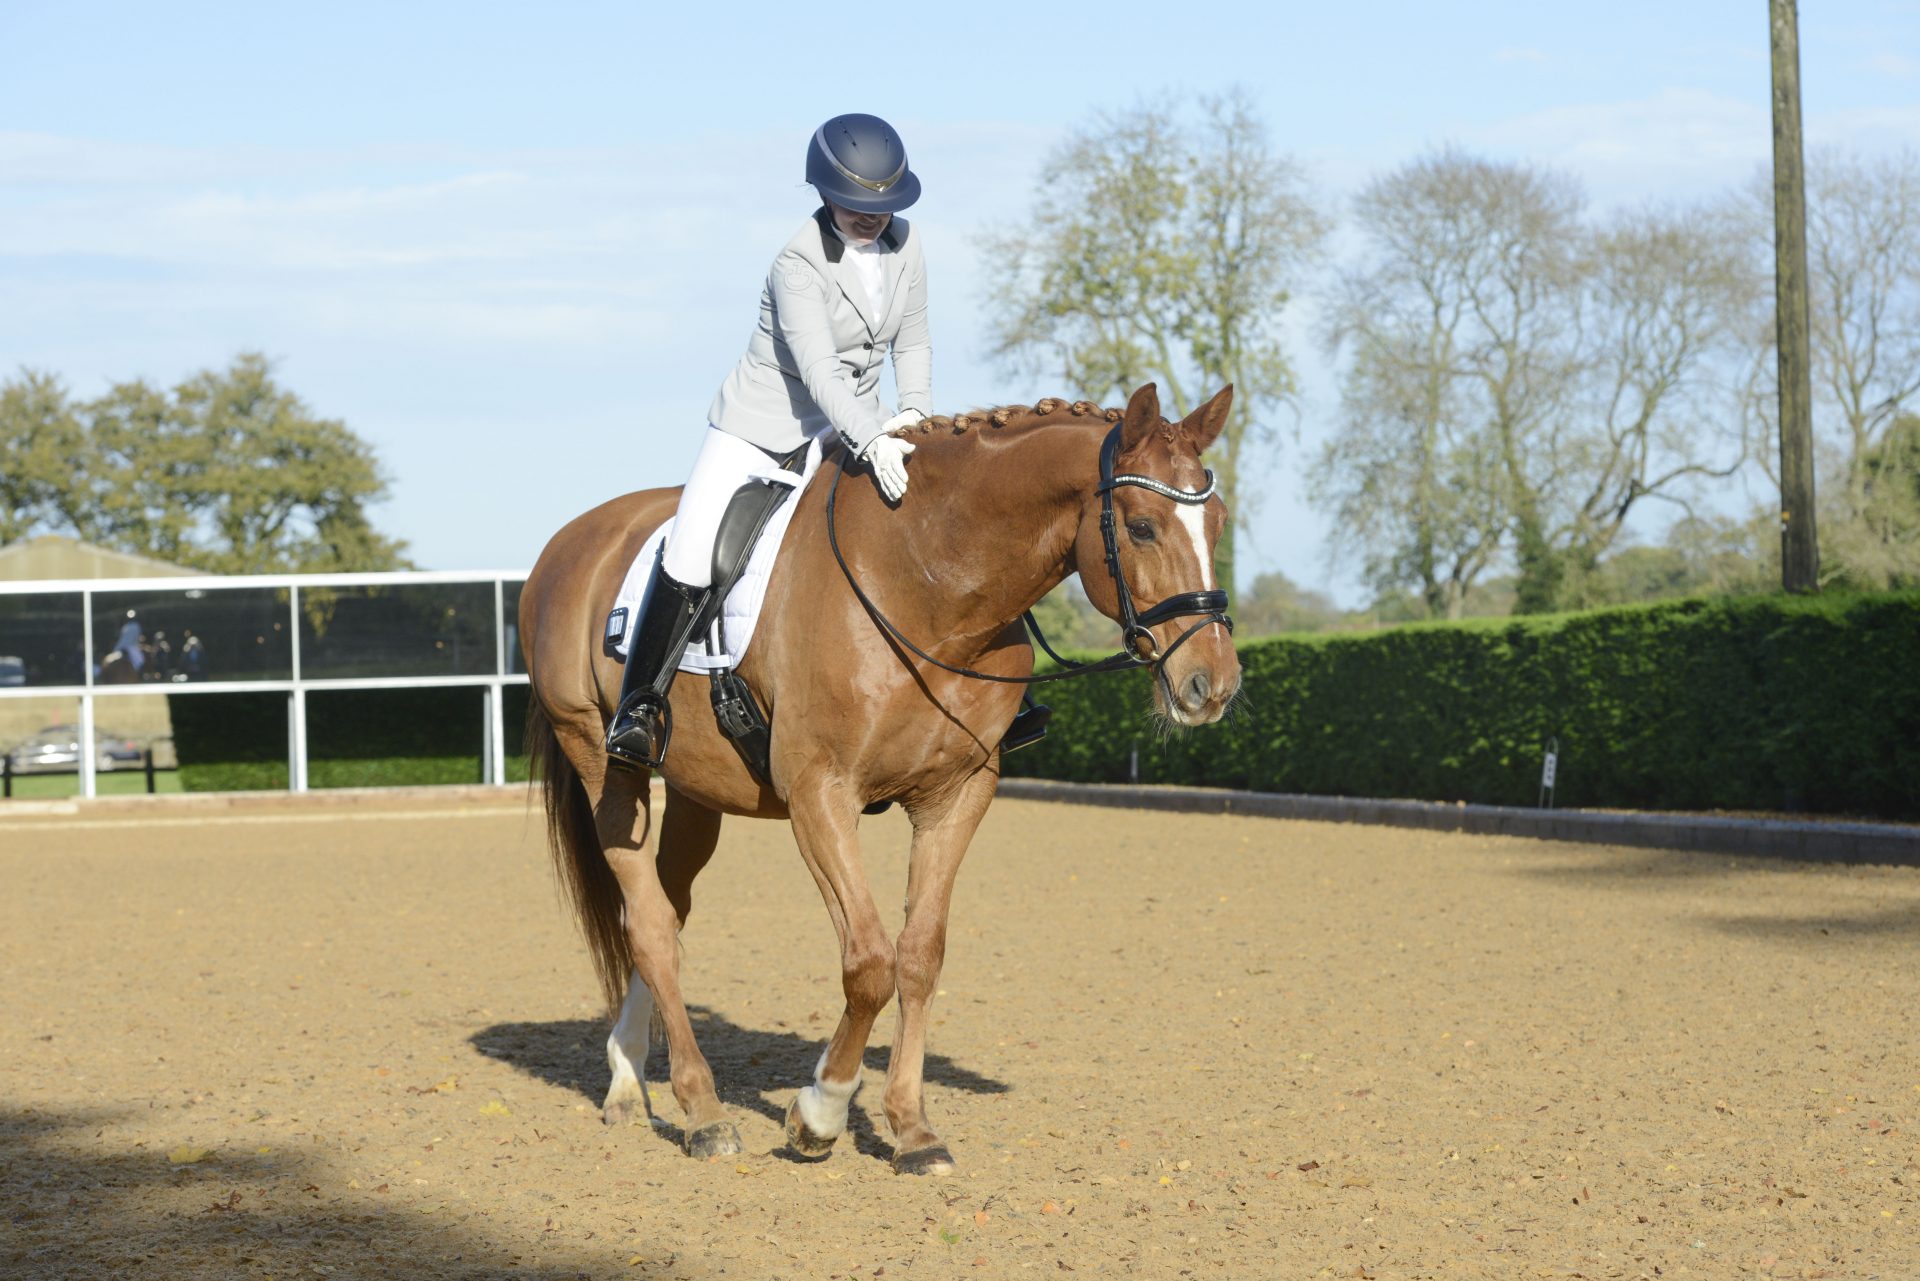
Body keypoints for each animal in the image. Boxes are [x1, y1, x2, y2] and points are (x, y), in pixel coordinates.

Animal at [519, 381, 1242, 1175]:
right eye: (1141, 527)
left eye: (1218, 521)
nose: (1214, 684)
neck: (928, 580)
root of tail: (572, 538)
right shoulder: (820, 795)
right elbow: (869, 961)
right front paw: (821, 1110)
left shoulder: (958, 796)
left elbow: (920, 955)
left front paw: (912, 1128)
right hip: (605, 760)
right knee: (647, 922)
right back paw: (703, 1110)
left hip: (692, 791)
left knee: (666, 911)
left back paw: (628, 1075)